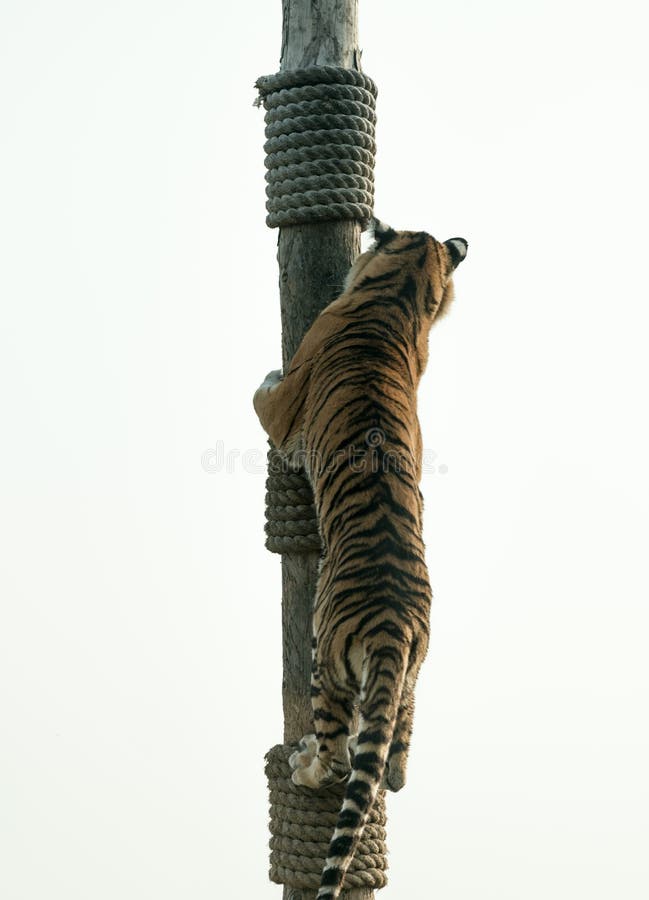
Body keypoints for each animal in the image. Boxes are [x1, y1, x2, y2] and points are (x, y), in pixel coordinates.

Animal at [253, 220, 467, 900]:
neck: (402, 295)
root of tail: (396, 624)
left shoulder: (282, 411)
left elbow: (265, 392)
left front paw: (265, 370)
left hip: (325, 660)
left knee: (339, 758)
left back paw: (302, 764)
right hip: (409, 679)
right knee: (392, 763)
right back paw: (389, 769)